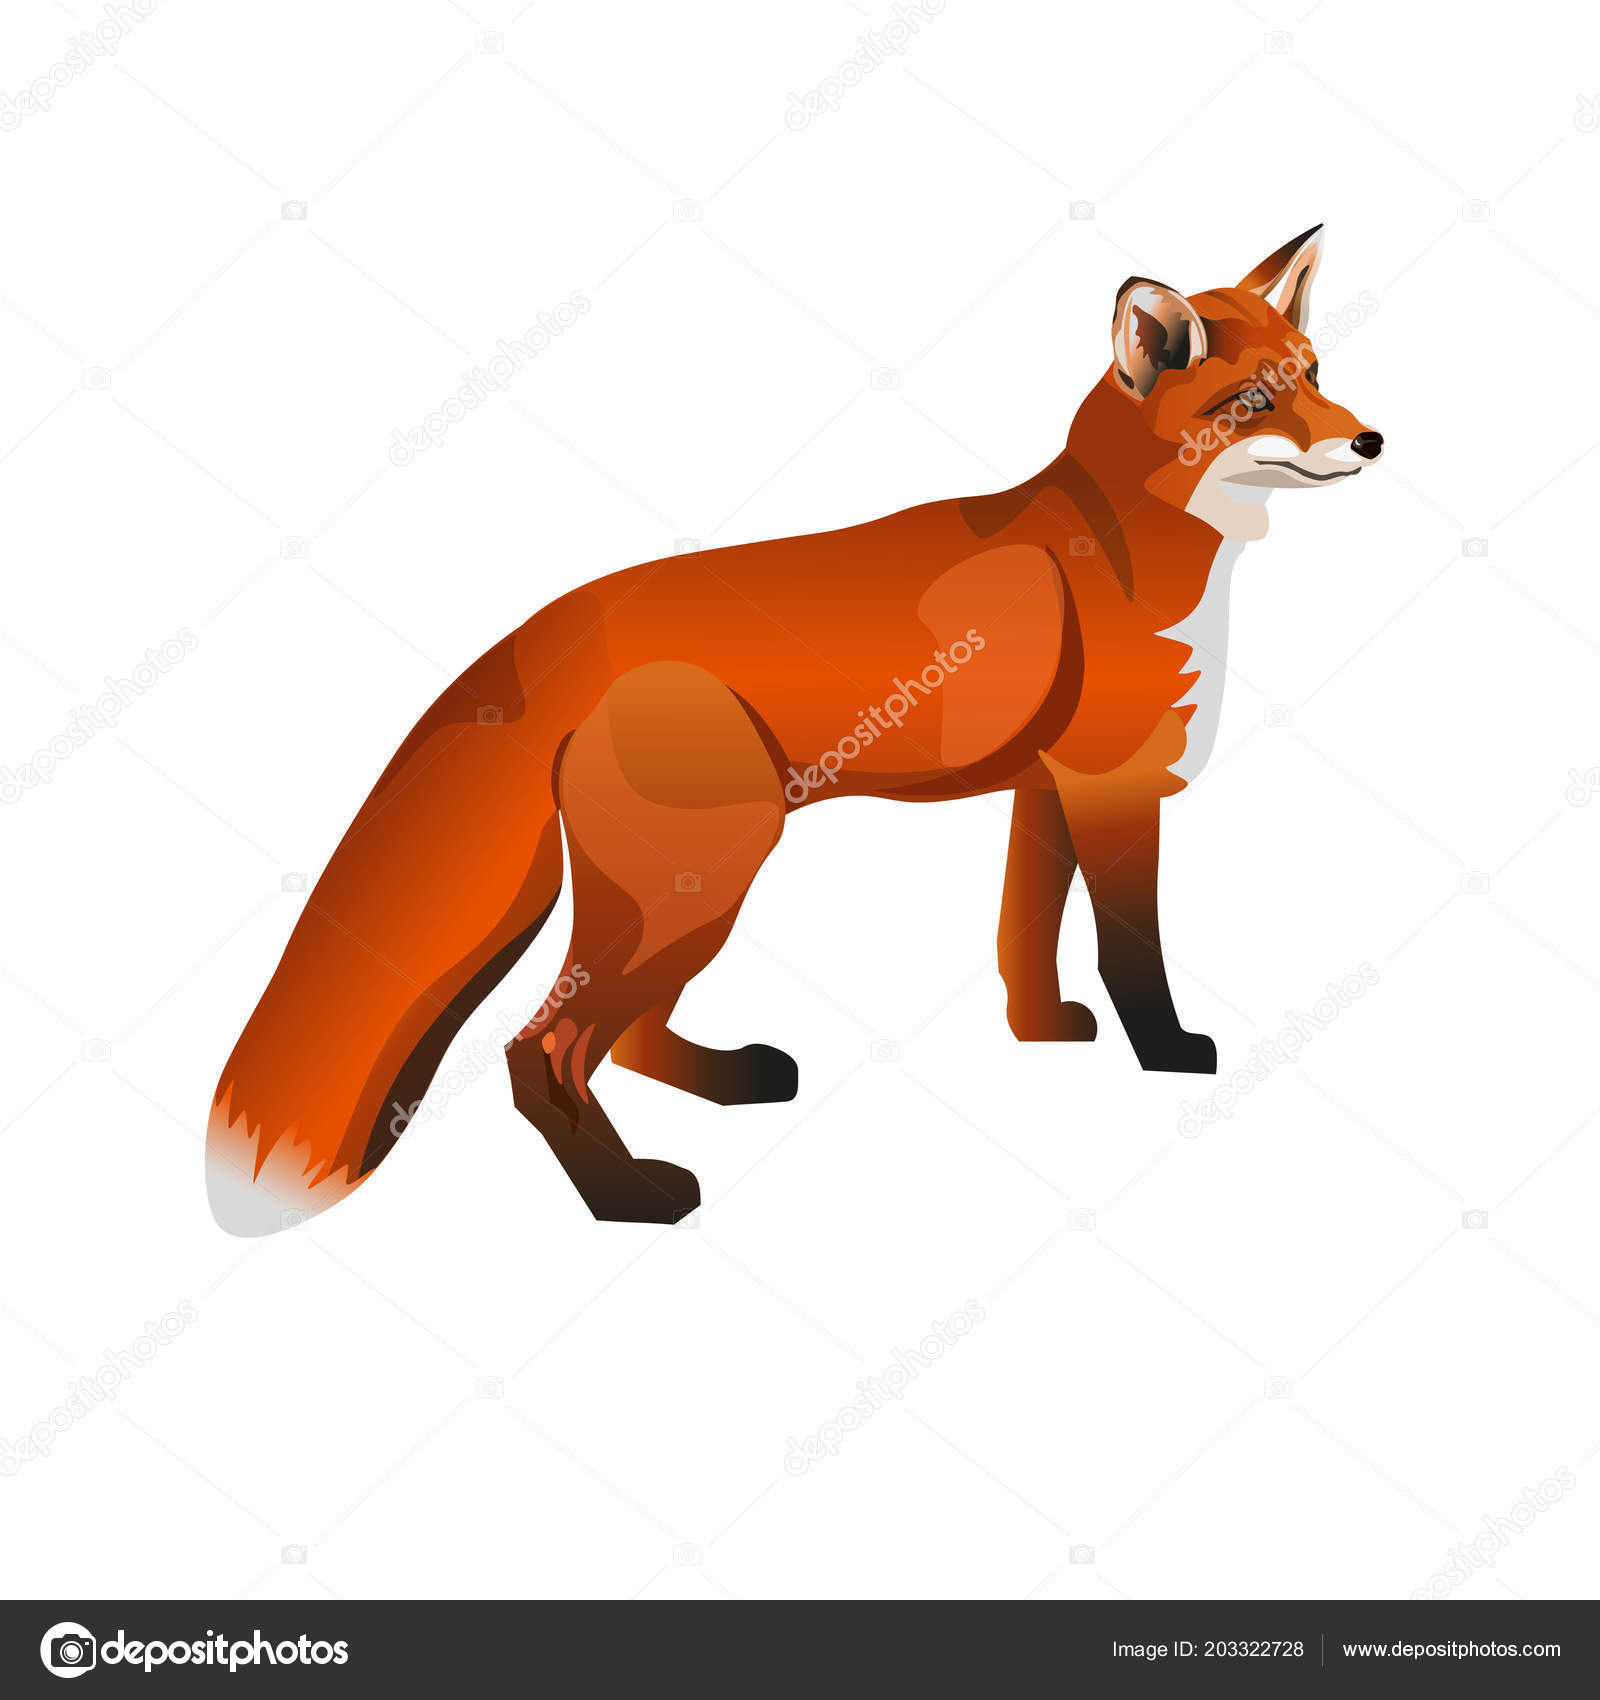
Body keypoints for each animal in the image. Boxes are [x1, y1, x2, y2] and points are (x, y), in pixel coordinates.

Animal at [208, 225, 1383, 1234]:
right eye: (1254, 401)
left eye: (1318, 372)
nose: (1372, 439)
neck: (1126, 543)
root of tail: (554, 622)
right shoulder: (1113, 783)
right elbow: (1130, 948)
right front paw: (1168, 1051)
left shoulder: (1045, 785)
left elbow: (1024, 932)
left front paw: (1041, 1030)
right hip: (701, 875)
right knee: (544, 1049)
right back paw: (629, 1197)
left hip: (686, 884)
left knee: (622, 1034)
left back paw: (725, 1082)